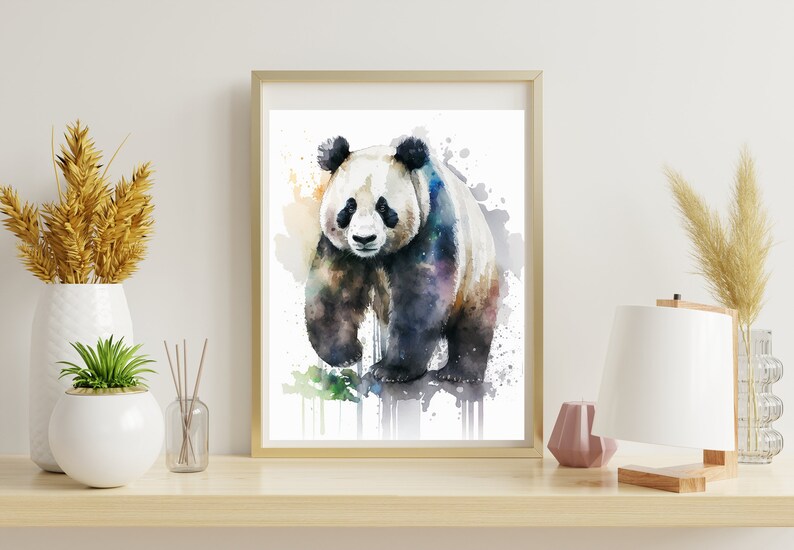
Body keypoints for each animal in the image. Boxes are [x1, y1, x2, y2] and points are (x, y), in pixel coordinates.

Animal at [304, 135, 499, 384]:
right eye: (349, 207)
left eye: (383, 207)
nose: (364, 238)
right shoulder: (341, 247)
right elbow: (333, 288)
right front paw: (346, 354)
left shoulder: (432, 223)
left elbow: (421, 296)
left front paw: (391, 370)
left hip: (477, 271)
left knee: (474, 323)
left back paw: (459, 373)